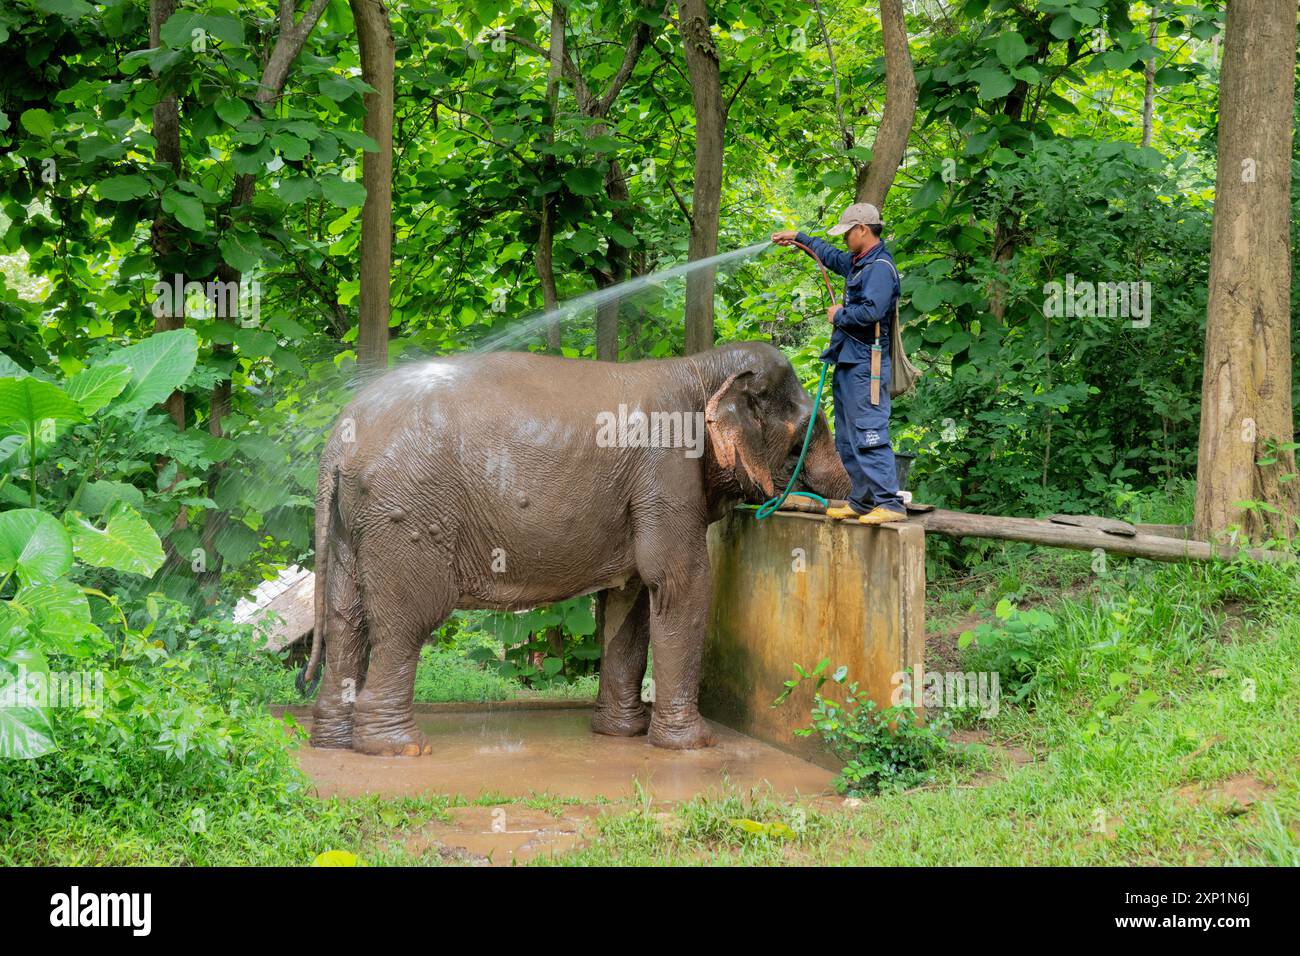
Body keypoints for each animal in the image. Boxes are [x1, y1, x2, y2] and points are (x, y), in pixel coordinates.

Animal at [300, 341, 851, 756]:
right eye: (811, 431)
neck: (702, 366)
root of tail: (335, 443)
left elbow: (631, 598)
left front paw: (623, 733)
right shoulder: (667, 468)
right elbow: (680, 582)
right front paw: (692, 745)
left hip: (353, 523)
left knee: (345, 616)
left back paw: (332, 741)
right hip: (406, 514)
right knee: (406, 621)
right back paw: (399, 748)